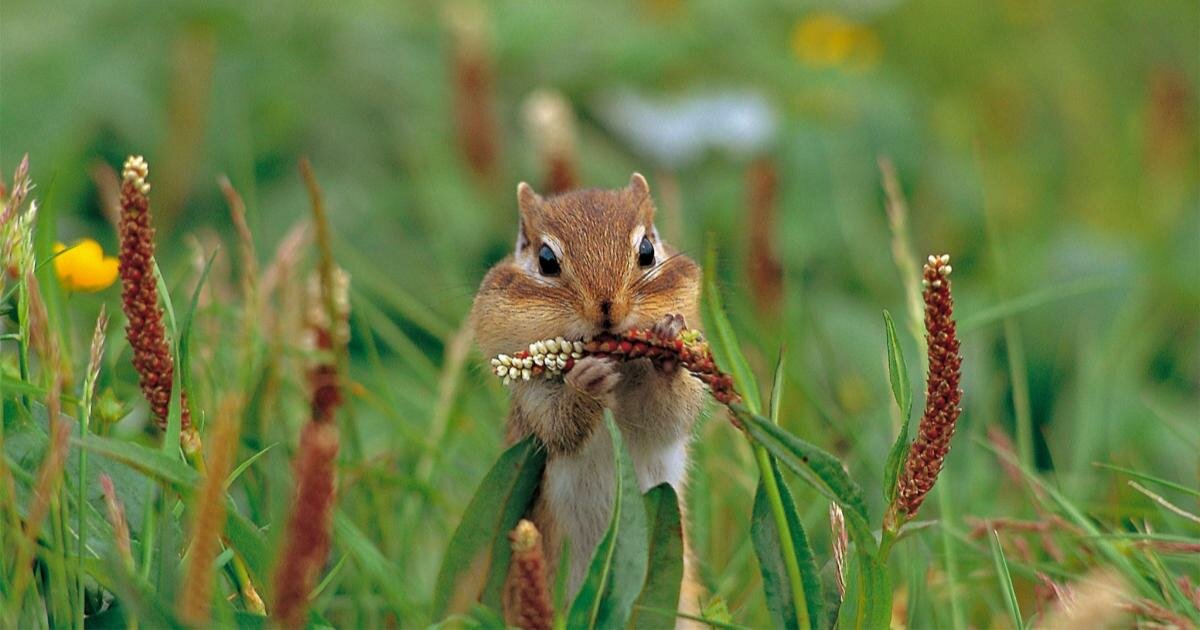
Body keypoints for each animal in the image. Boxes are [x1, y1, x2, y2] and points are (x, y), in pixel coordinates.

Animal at [471, 173, 707, 621]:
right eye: (546, 260)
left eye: (647, 251)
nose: (607, 308)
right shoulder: (532, 401)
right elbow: (560, 425)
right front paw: (585, 380)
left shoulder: (662, 421)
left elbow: (668, 414)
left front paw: (666, 344)